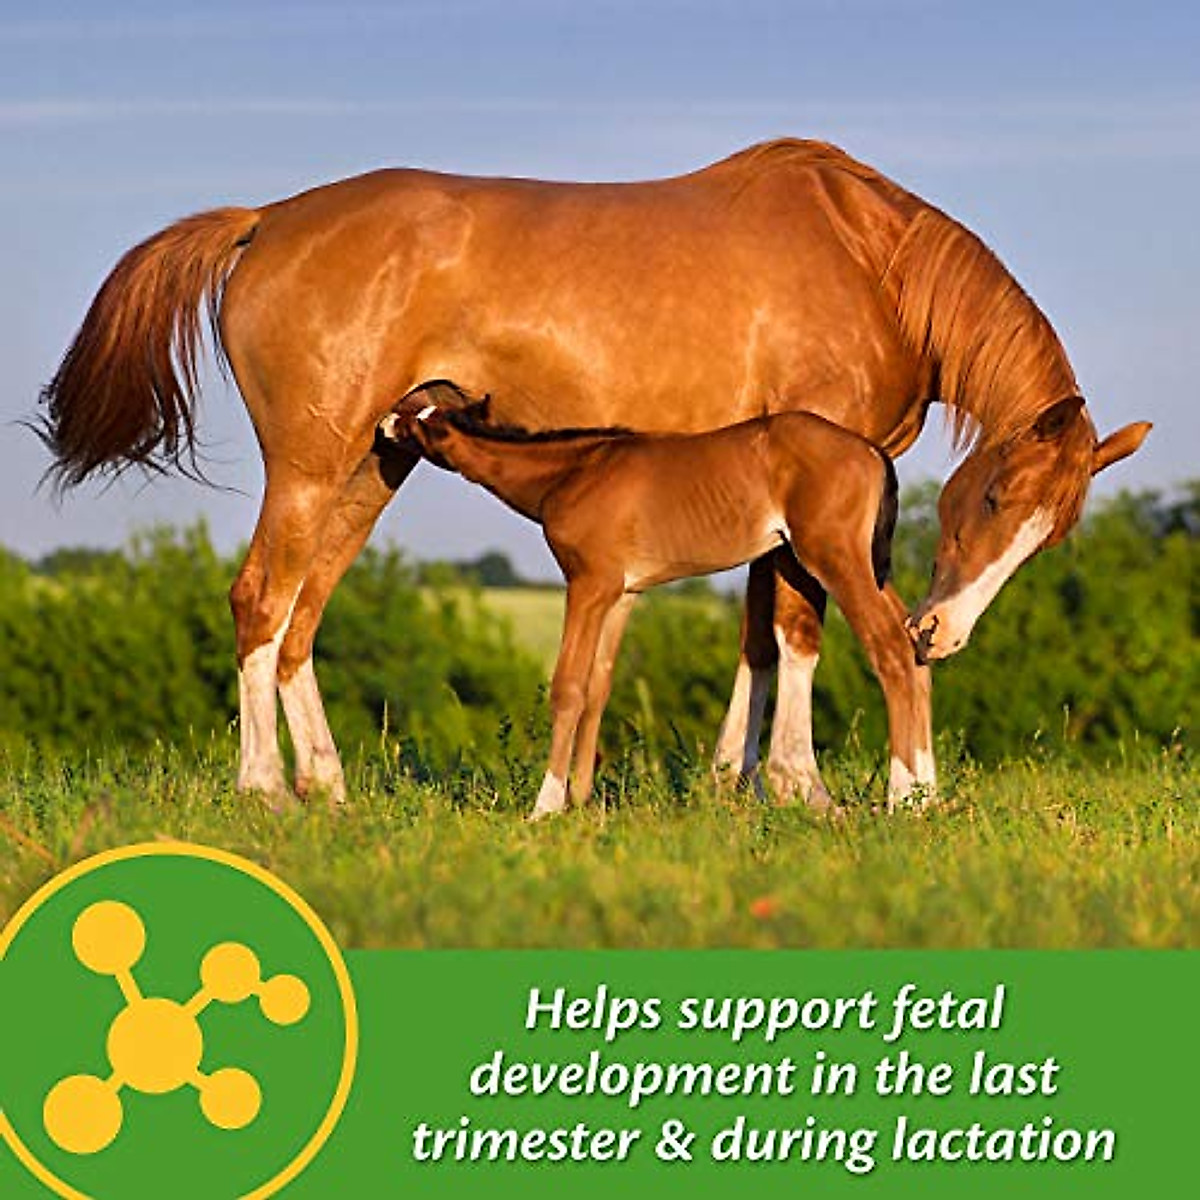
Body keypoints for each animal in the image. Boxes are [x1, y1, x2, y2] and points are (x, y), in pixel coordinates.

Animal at [378, 395, 913, 819]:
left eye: (419, 421)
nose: (382, 423)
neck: (575, 471)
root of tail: (870, 450)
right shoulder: (621, 595)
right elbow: (598, 687)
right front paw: (580, 799)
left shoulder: (588, 585)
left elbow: (568, 687)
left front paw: (546, 806)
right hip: (852, 565)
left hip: (835, 559)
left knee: (890, 646)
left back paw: (904, 797)